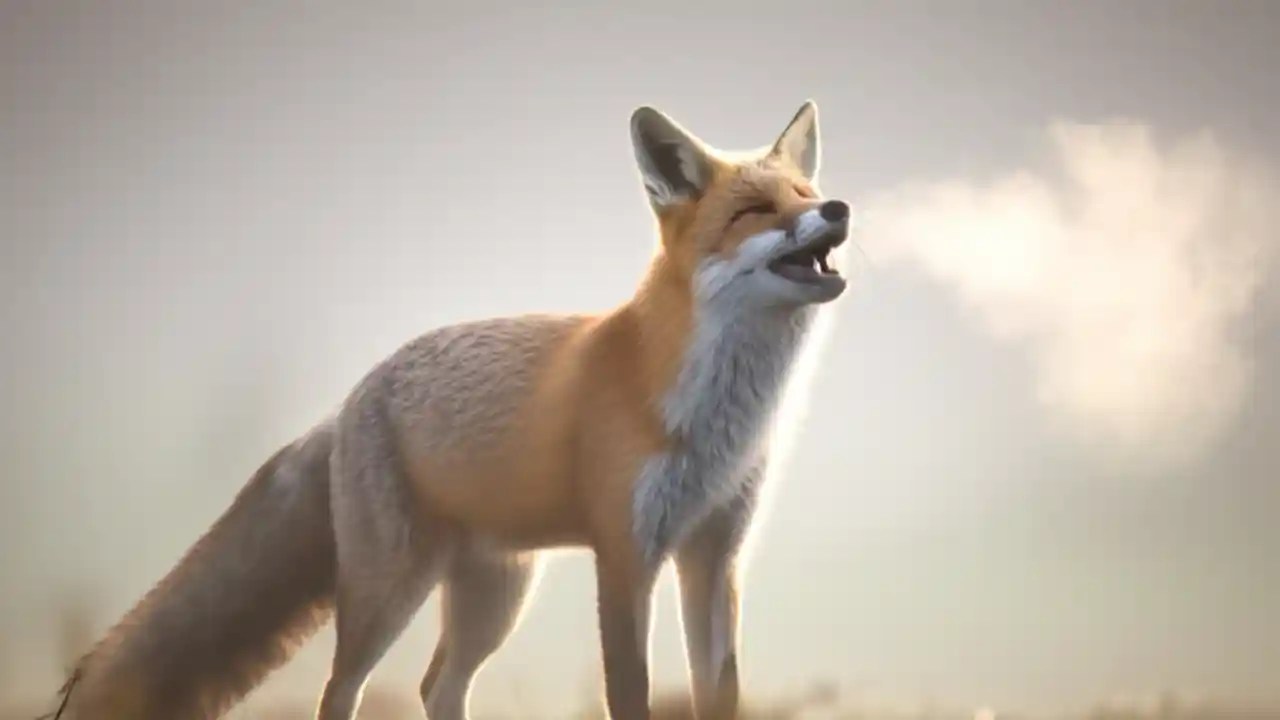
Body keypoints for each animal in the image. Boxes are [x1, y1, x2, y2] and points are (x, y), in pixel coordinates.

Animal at [48, 100, 853, 720]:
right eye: (755, 211)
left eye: (806, 191)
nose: (838, 208)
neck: (721, 414)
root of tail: (351, 397)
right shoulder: (627, 556)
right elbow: (630, 694)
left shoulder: (714, 557)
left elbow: (722, 694)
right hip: (389, 589)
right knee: (342, 689)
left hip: (495, 596)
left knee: (439, 685)